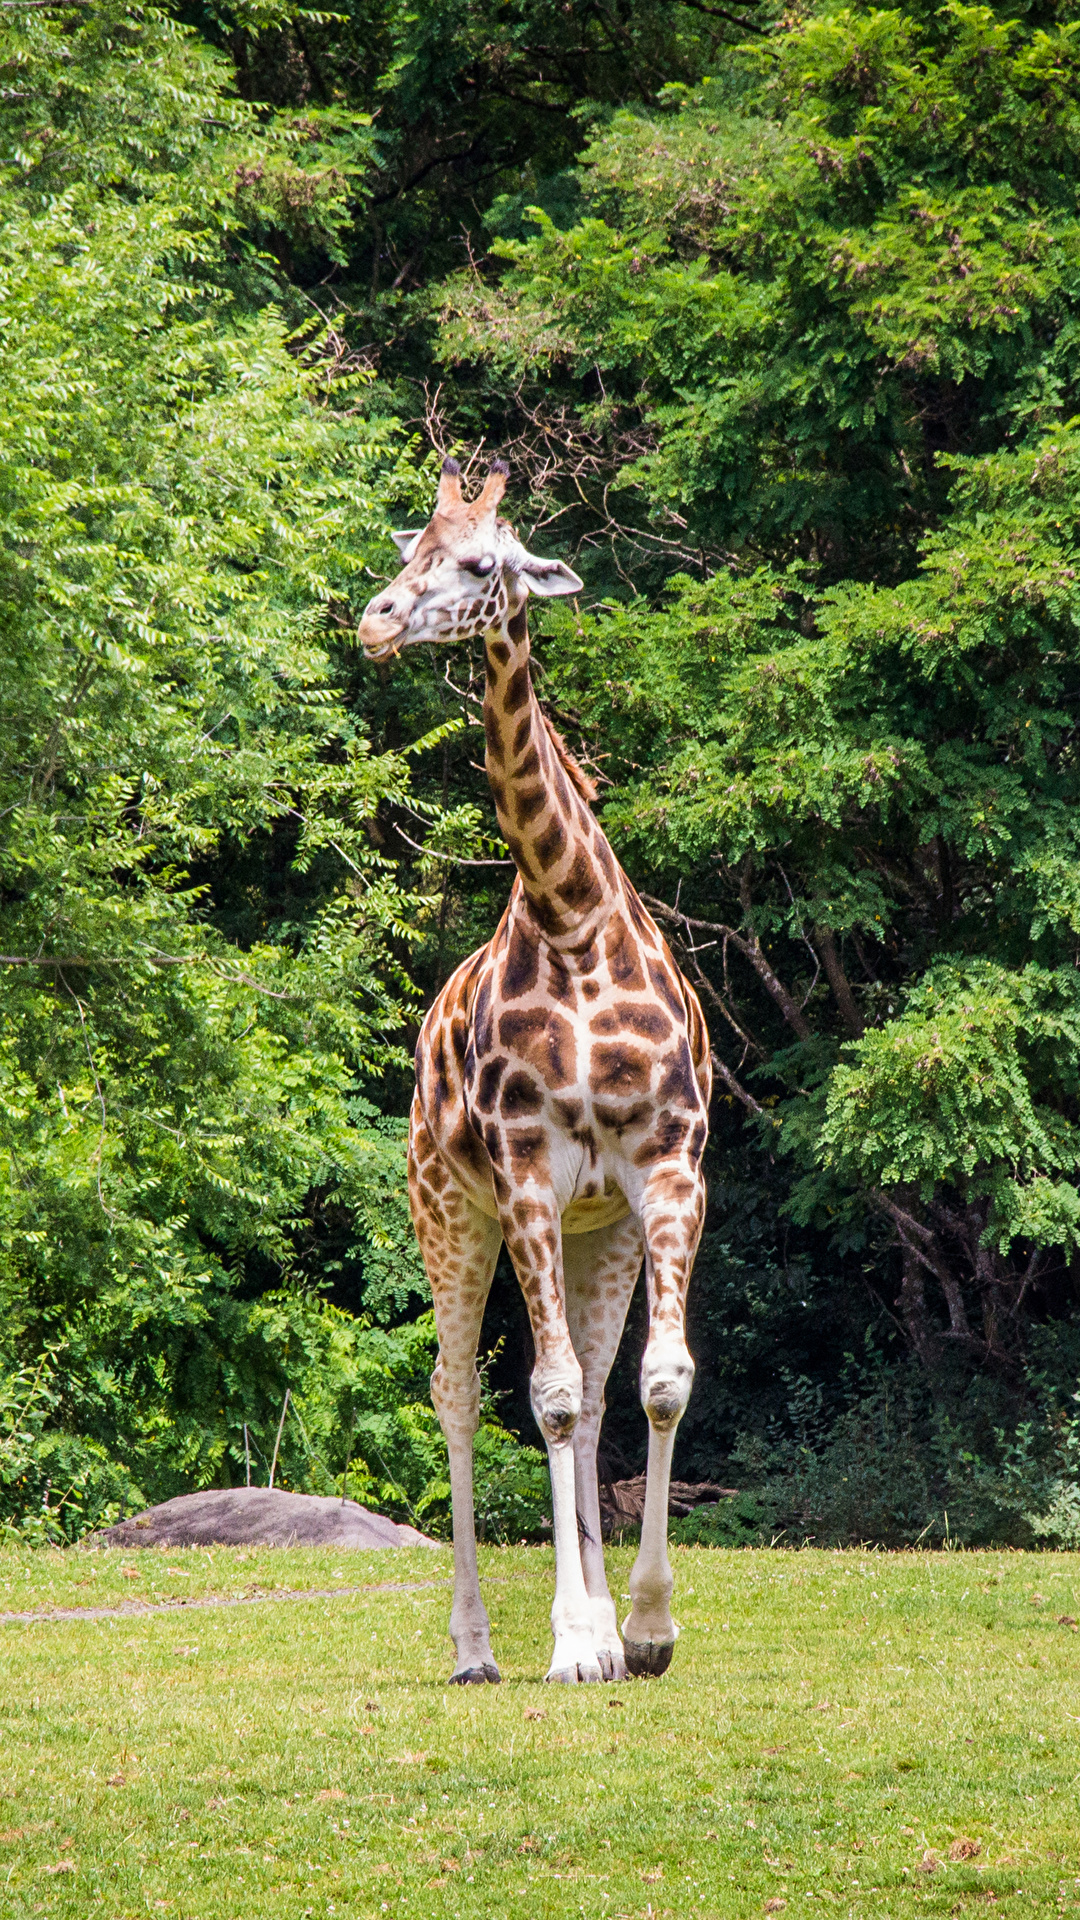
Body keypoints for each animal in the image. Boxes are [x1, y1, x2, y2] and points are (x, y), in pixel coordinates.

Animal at [358, 455, 711, 1685]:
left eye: (477, 563)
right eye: (406, 550)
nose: (374, 621)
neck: (572, 919)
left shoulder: (669, 1168)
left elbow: (655, 1382)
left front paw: (640, 1629)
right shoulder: (521, 1174)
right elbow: (546, 1399)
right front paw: (569, 1641)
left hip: (599, 1229)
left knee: (602, 1394)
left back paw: (605, 1628)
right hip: (446, 1209)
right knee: (461, 1393)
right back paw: (475, 1648)